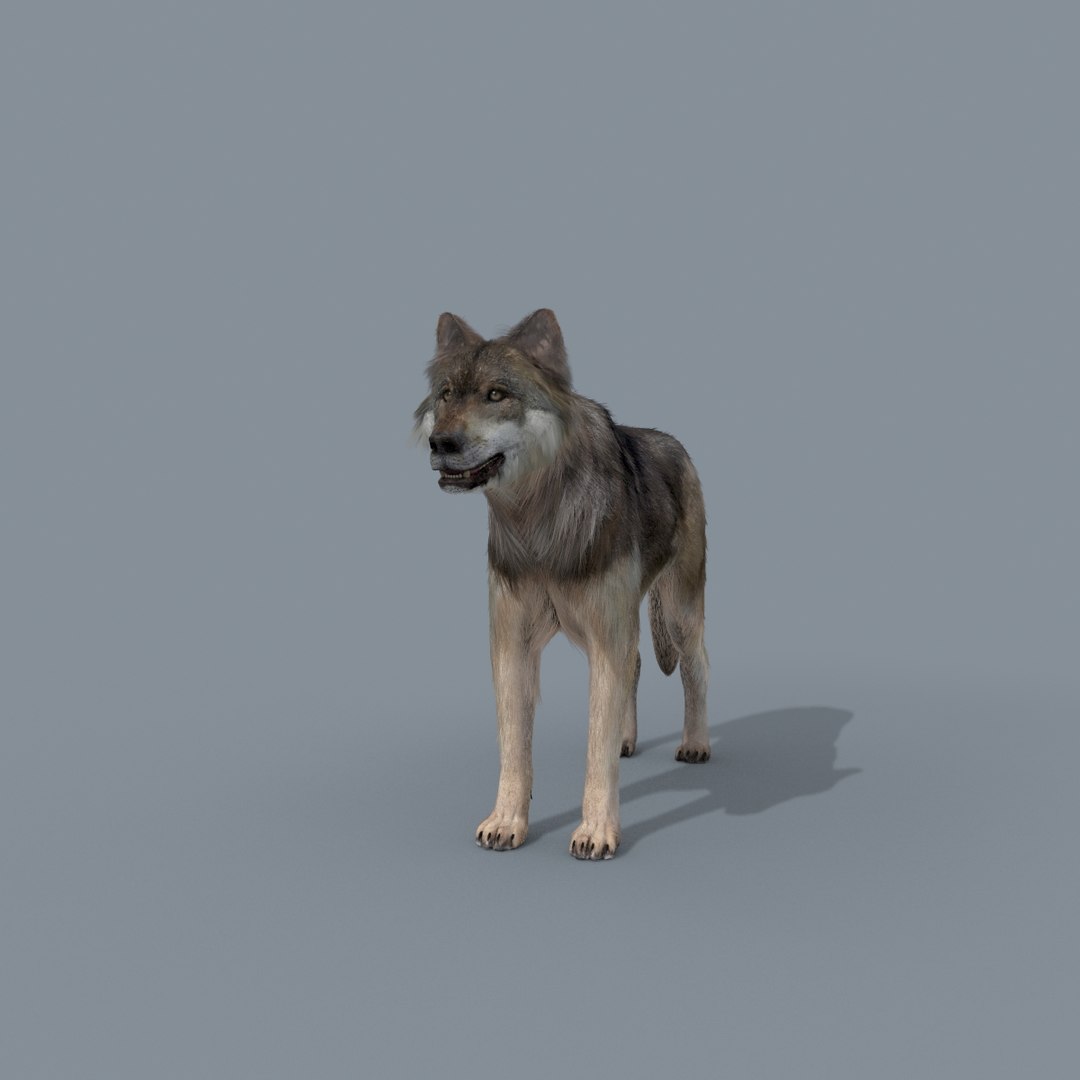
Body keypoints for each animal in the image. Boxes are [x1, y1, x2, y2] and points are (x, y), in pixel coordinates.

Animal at [415, 308, 709, 860]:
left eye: (495, 395)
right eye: (446, 394)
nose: (441, 444)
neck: (538, 522)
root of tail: (674, 443)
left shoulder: (606, 639)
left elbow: (596, 749)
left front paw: (595, 832)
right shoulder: (511, 646)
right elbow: (514, 746)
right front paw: (506, 822)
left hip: (681, 613)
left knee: (695, 667)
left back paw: (696, 744)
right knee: (638, 664)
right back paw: (628, 740)